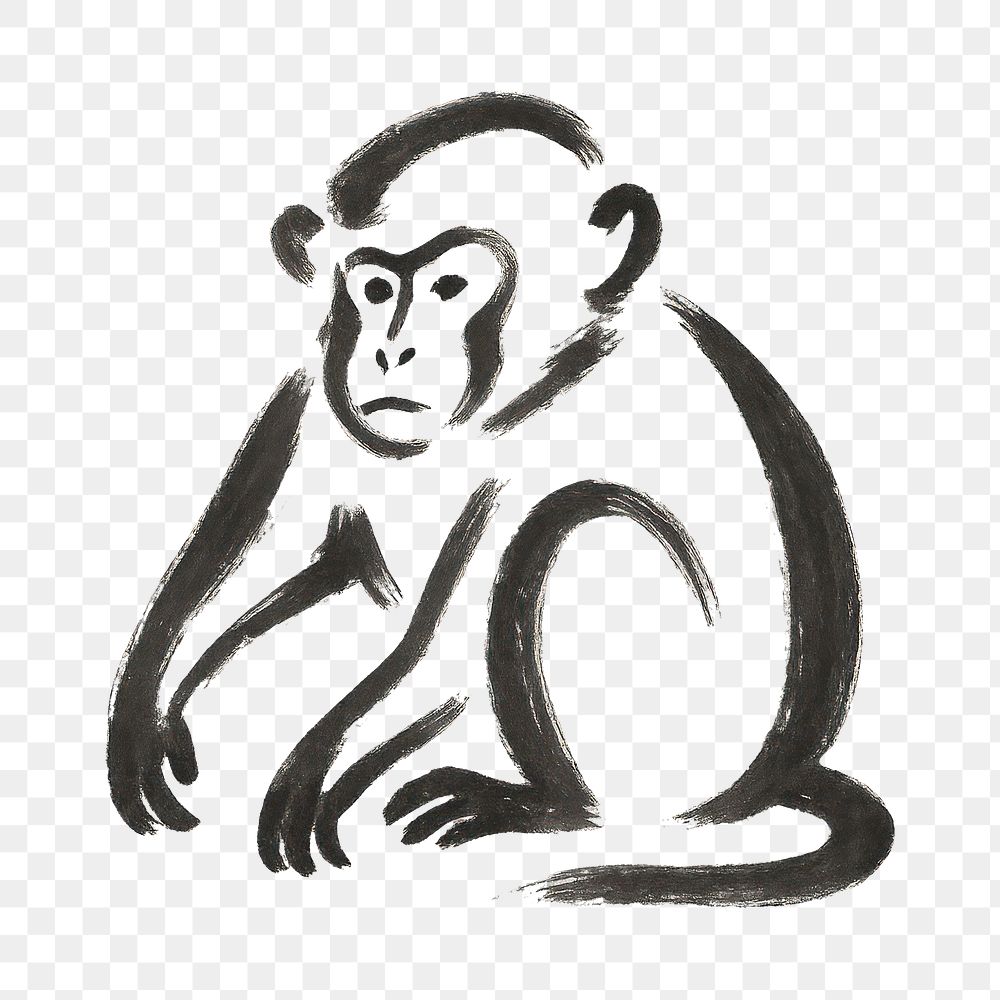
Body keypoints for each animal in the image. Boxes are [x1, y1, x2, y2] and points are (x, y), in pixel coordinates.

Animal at [107, 93, 892, 905]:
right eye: (376, 288)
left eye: (451, 286)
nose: (389, 351)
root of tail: (761, 782)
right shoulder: (310, 390)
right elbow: (257, 545)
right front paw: (143, 711)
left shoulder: (567, 417)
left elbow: (454, 641)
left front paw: (316, 765)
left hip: (683, 765)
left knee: (574, 527)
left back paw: (549, 808)